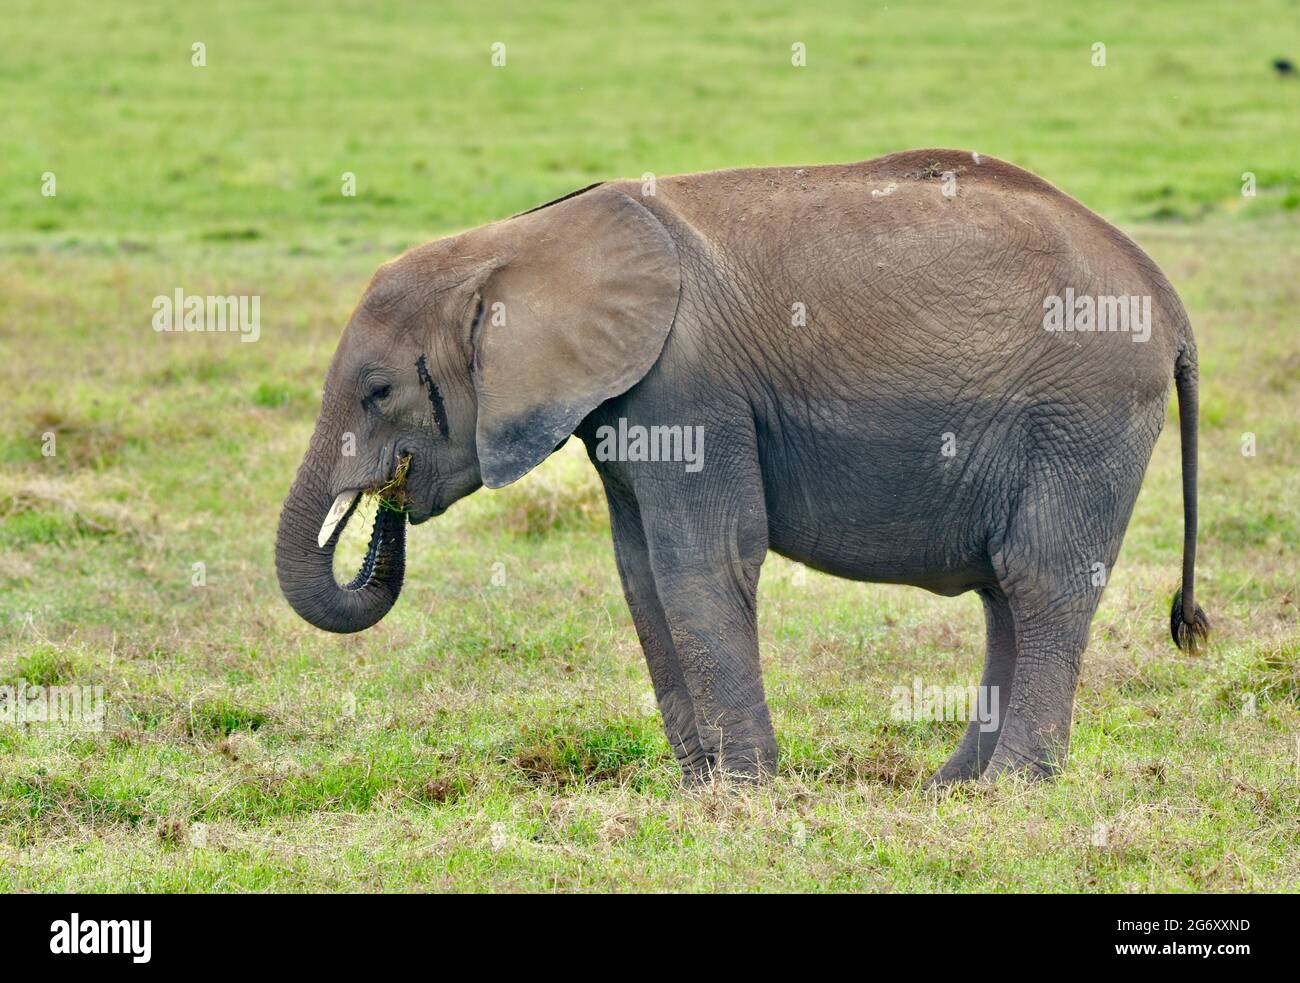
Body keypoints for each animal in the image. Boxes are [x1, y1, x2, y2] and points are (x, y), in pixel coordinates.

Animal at [275, 148, 1210, 785]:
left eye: (380, 390)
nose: (389, 497)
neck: (521, 241)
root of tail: (1170, 302)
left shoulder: (688, 384)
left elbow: (704, 557)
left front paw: (748, 787)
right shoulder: (627, 404)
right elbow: (642, 570)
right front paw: (701, 787)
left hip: (1084, 413)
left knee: (1041, 577)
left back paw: (1008, 788)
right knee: (1004, 591)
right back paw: (951, 787)